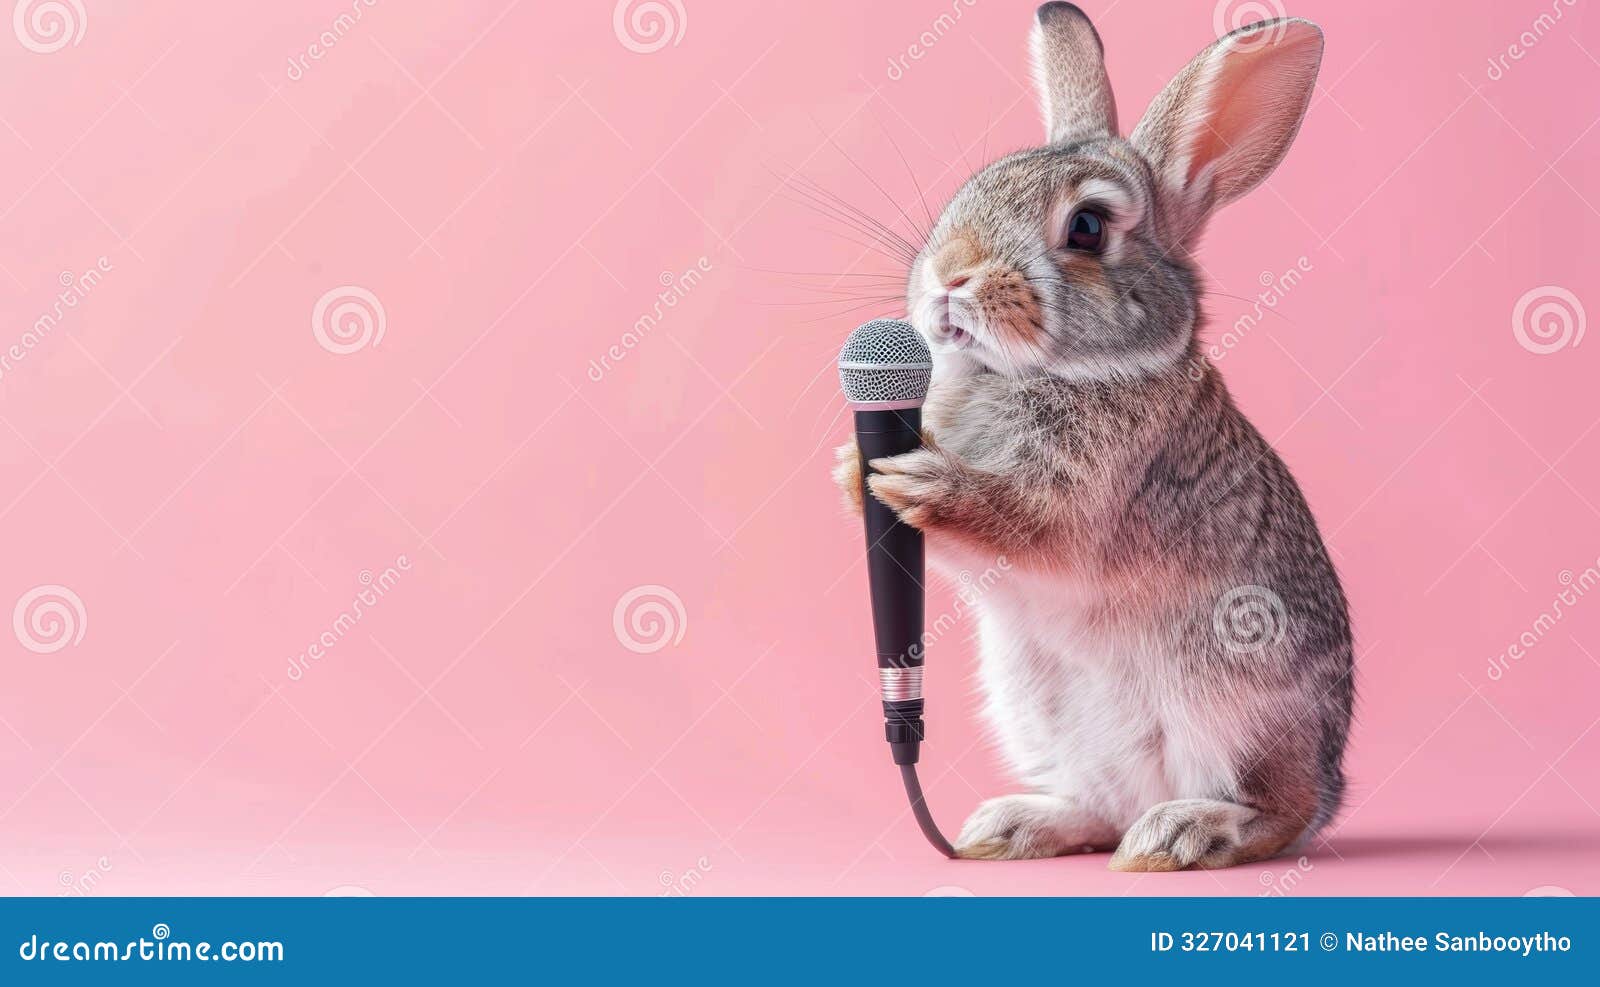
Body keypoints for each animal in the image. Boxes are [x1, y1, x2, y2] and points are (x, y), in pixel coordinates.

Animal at [831, 3, 1352, 870]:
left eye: (1086, 227)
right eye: (975, 187)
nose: (951, 272)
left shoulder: (1082, 501)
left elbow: (1027, 525)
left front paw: (921, 482)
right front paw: (852, 466)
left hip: (1239, 705)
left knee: (1280, 812)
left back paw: (1184, 833)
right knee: (1103, 807)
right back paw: (1013, 826)